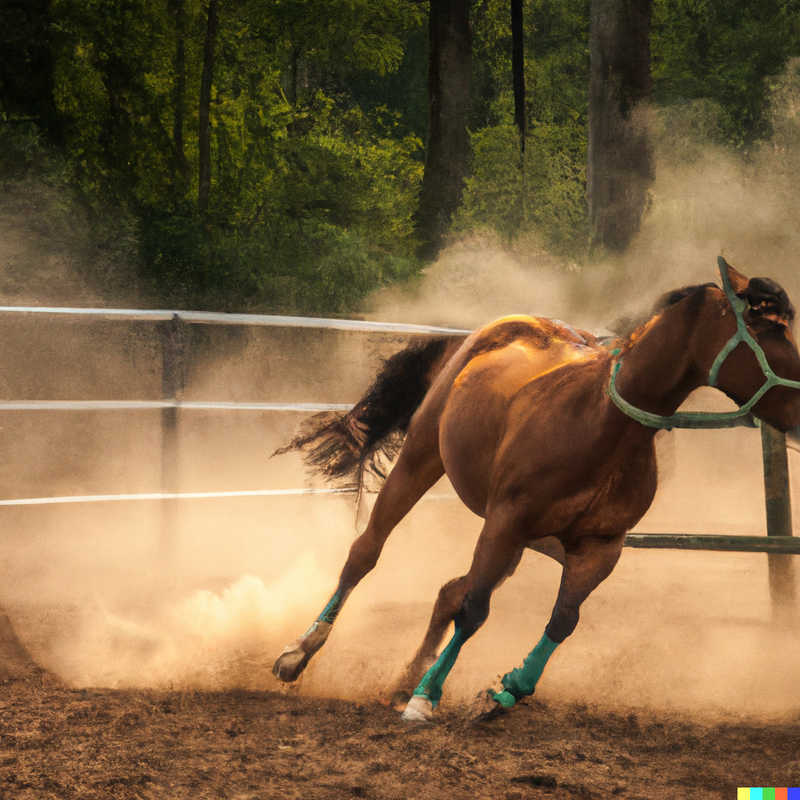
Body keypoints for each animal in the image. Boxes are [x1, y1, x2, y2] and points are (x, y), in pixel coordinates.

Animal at [271, 258, 800, 722]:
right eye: (770, 331)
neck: (601, 423)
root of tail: (485, 332)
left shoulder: (598, 546)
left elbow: (561, 620)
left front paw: (504, 691)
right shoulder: (507, 521)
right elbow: (474, 611)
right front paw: (426, 699)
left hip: (527, 541)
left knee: (448, 591)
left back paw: (403, 680)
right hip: (423, 461)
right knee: (366, 554)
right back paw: (300, 652)